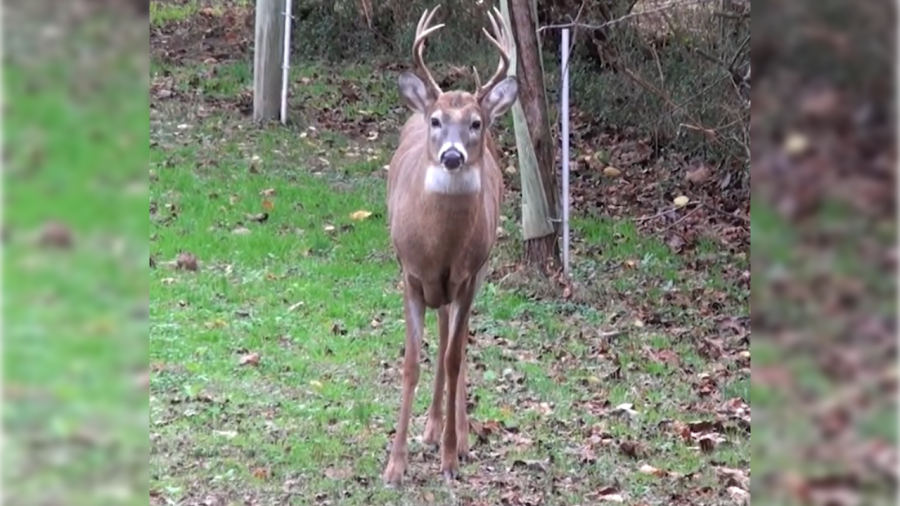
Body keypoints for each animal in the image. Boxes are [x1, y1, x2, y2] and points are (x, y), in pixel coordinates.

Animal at [382, 5, 518, 485]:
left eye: (475, 123)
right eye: (437, 121)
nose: (453, 155)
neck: (439, 245)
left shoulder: (466, 277)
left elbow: (456, 357)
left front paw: (450, 458)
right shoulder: (409, 273)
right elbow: (411, 364)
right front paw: (395, 465)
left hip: (476, 273)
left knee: (454, 345)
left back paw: (456, 434)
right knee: (441, 337)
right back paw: (431, 427)